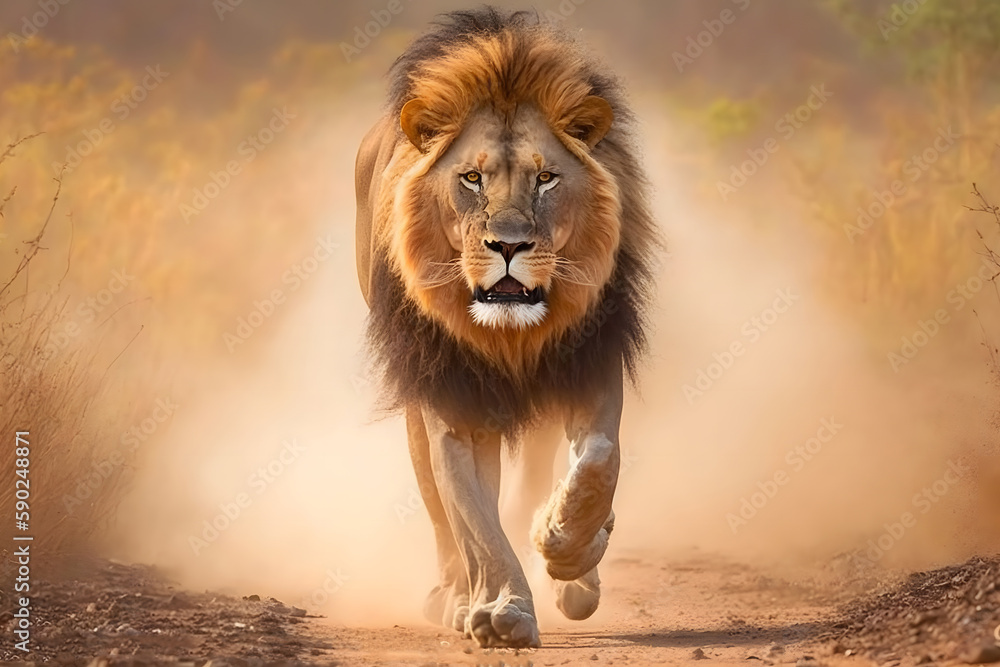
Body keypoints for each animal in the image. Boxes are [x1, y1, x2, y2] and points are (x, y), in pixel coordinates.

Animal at [355, 7, 658, 648]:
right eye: (471, 178)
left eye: (546, 180)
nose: (510, 244)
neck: (510, 338)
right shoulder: (454, 408)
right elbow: (476, 522)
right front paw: (502, 609)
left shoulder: (589, 367)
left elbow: (599, 463)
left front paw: (566, 547)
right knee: (442, 515)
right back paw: (454, 597)